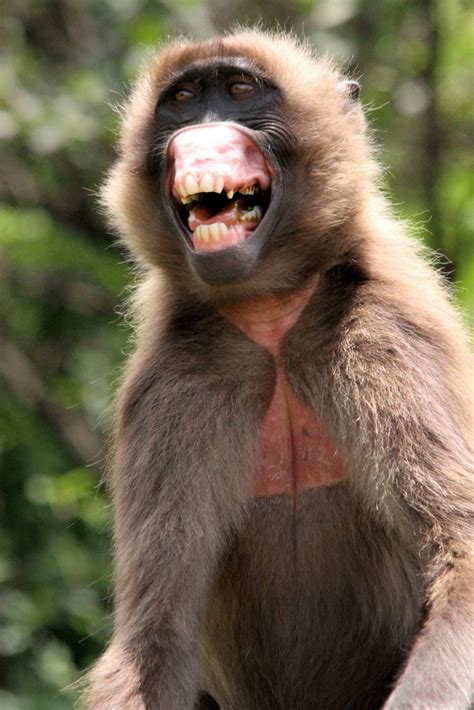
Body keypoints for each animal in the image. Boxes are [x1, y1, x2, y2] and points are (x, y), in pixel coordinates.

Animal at [85, 29, 474, 710]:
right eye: (183, 101)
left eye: (240, 91)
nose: (202, 131)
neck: (270, 320)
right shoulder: (177, 381)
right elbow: (156, 637)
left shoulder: (385, 336)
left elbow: (465, 562)